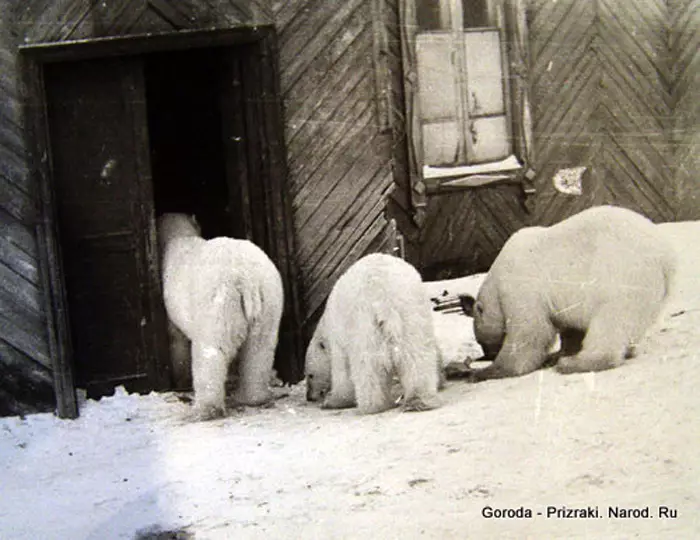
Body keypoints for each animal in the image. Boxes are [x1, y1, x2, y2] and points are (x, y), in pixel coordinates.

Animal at [157, 213, 284, 420]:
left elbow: (177, 340)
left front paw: (181, 380)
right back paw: (252, 397)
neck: (178, 236)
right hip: (269, 297)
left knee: (212, 349)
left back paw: (205, 409)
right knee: (260, 346)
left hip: (218, 300)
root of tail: (246, 278)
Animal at [306, 253, 442, 414]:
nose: (309, 397)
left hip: (363, 321)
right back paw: (419, 401)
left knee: (368, 364)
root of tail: (382, 293)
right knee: (417, 354)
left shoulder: (339, 336)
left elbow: (342, 370)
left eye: (310, 375)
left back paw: (373, 406)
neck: (325, 324)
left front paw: (333, 401)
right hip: (411, 310)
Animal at [462, 205, 676, 382]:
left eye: (481, 341)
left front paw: (486, 371)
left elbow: (530, 330)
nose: (486, 355)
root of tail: (666, 258)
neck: (496, 279)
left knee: (610, 321)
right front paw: (558, 354)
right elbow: (570, 327)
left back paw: (575, 363)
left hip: (620, 273)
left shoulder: (520, 286)